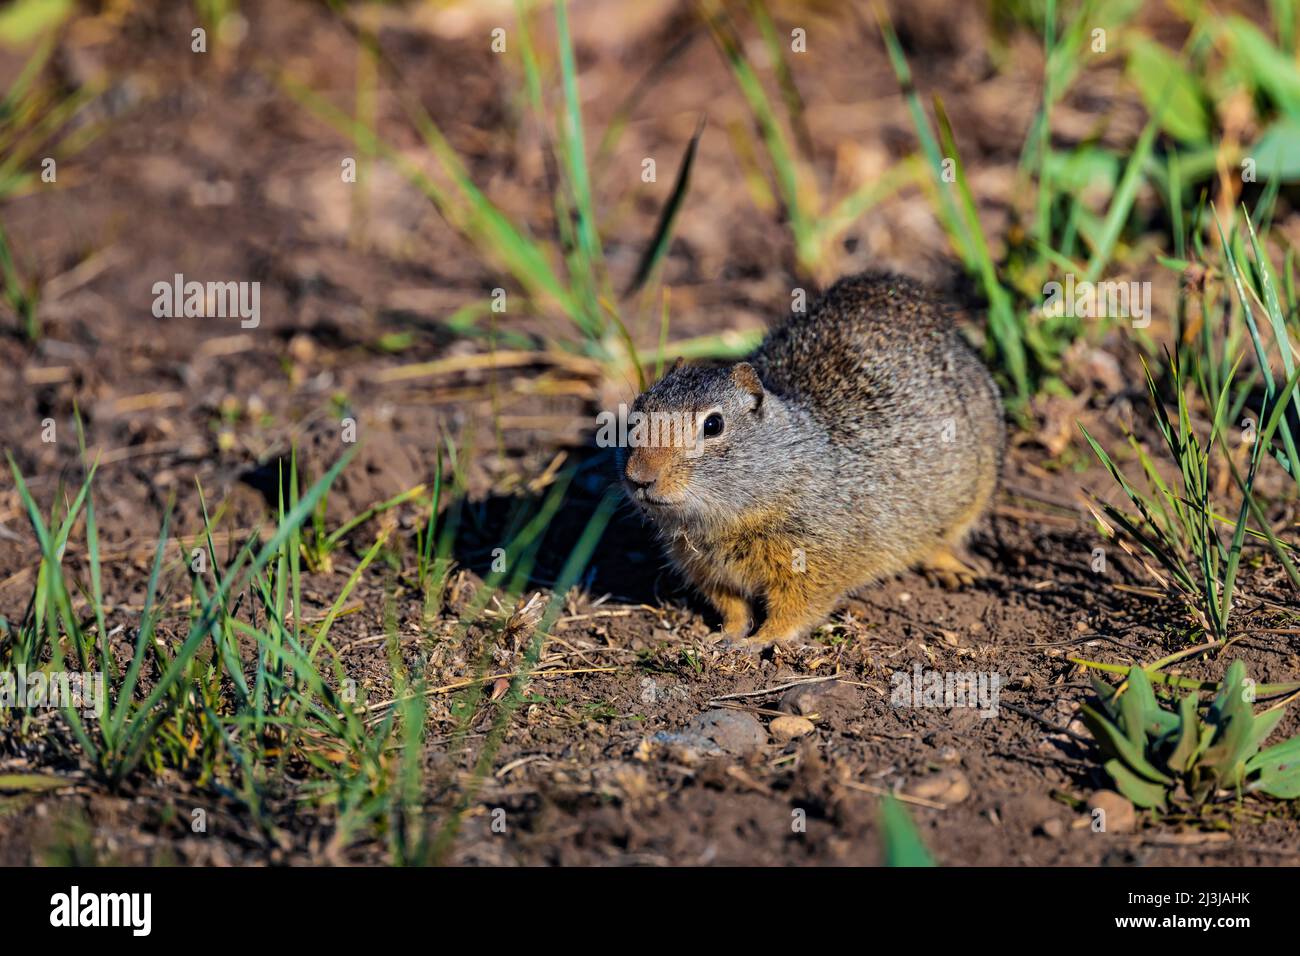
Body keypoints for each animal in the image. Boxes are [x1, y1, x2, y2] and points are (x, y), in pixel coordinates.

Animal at [617, 271, 1005, 647]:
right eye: (637, 412)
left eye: (713, 425)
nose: (639, 477)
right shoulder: (705, 569)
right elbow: (732, 608)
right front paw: (724, 635)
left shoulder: (815, 562)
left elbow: (795, 609)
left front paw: (761, 640)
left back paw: (953, 569)